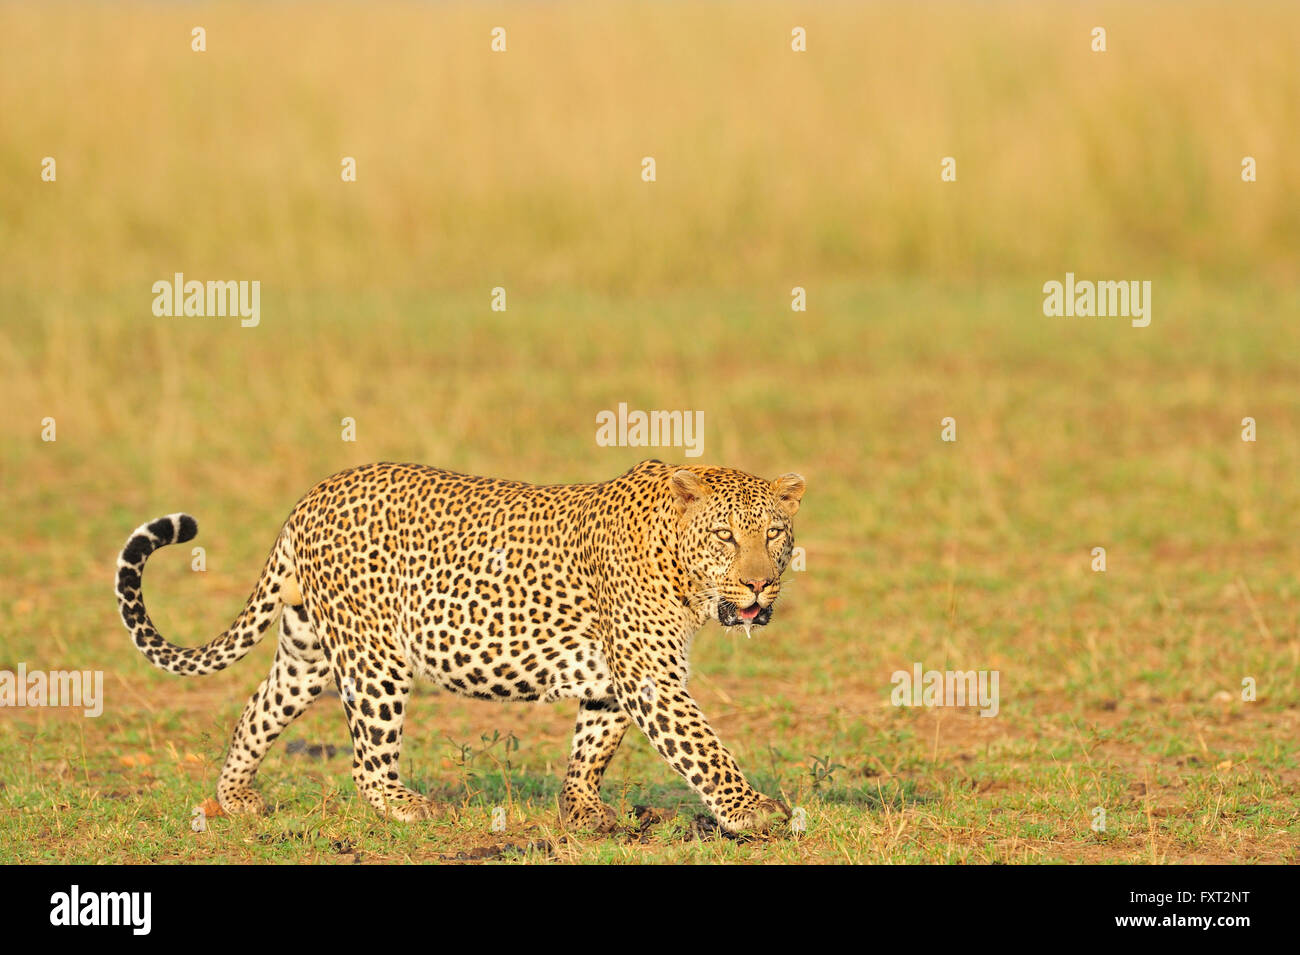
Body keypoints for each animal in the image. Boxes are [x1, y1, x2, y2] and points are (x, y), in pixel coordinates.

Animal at [115, 459, 806, 834]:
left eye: (775, 534)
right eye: (724, 536)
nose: (759, 584)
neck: (678, 561)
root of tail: (309, 499)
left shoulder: (614, 678)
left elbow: (592, 749)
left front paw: (580, 811)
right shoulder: (650, 677)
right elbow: (705, 750)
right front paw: (754, 813)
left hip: (307, 647)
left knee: (258, 710)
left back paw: (237, 798)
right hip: (375, 658)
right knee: (367, 760)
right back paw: (409, 809)